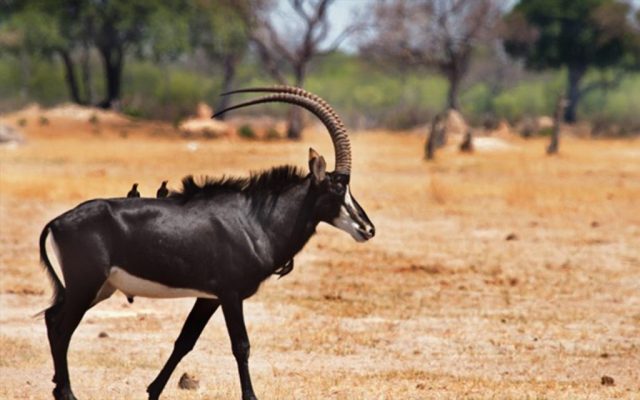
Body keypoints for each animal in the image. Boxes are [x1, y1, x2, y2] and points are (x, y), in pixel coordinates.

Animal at [38, 86, 375, 400]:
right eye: (338, 188)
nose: (367, 228)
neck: (255, 219)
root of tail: (57, 222)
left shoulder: (209, 297)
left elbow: (185, 341)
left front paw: (153, 390)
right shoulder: (231, 294)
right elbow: (241, 345)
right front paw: (251, 396)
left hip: (99, 288)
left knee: (52, 318)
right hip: (86, 285)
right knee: (62, 328)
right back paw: (67, 393)